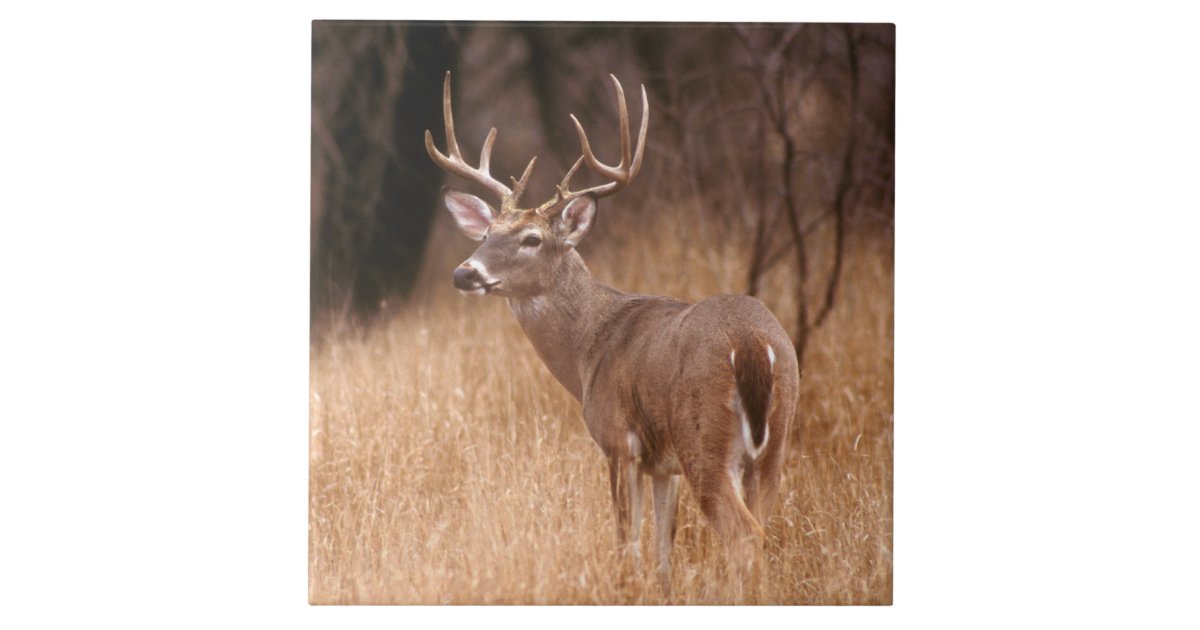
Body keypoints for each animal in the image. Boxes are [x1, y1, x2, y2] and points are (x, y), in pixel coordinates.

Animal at [425, 71, 799, 596]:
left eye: (531, 239)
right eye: (485, 234)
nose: (465, 273)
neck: (588, 350)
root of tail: (752, 344)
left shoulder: (618, 441)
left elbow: (628, 545)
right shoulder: (663, 465)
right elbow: (663, 553)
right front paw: (663, 595)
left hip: (704, 438)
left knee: (745, 538)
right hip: (775, 443)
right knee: (761, 530)